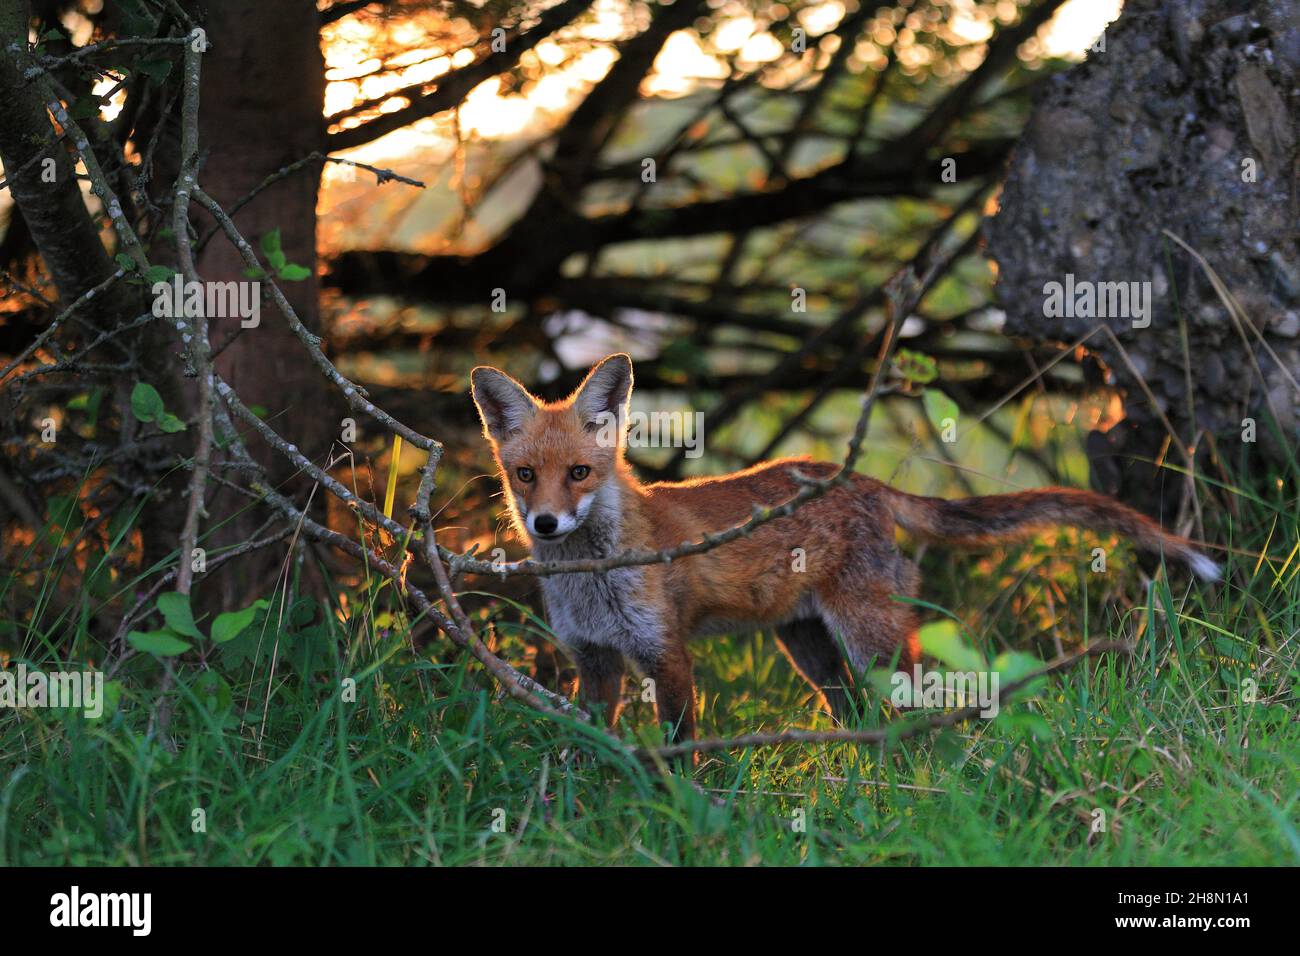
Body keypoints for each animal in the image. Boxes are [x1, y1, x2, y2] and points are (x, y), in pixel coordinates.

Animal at [471, 353, 1220, 744]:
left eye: (580, 473)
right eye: (525, 475)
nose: (545, 524)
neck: (593, 579)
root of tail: (863, 478)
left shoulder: (665, 652)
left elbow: (683, 750)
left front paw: (683, 806)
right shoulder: (593, 660)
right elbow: (591, 744)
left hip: (871, 640)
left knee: (921, 701)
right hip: (809, 648)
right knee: (854, 712)